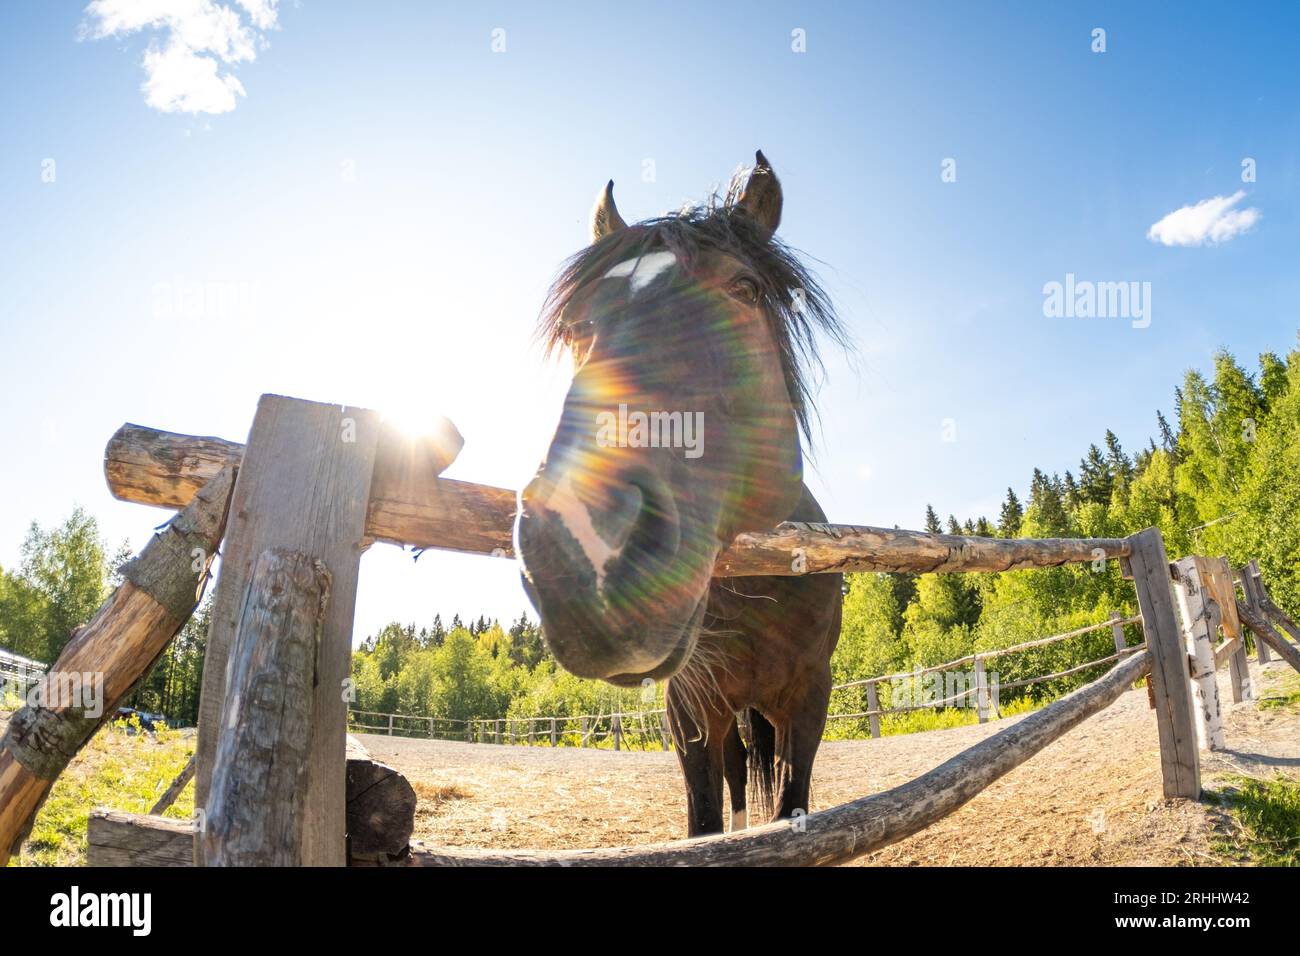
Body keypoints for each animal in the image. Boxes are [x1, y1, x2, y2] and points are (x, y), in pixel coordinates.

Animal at [514, 152, 847, 836]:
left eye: (745, 289)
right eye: (574, 325)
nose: (584, 548)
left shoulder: (809, 701)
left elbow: (792, 803)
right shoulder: (691, 709)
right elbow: (706, 822)